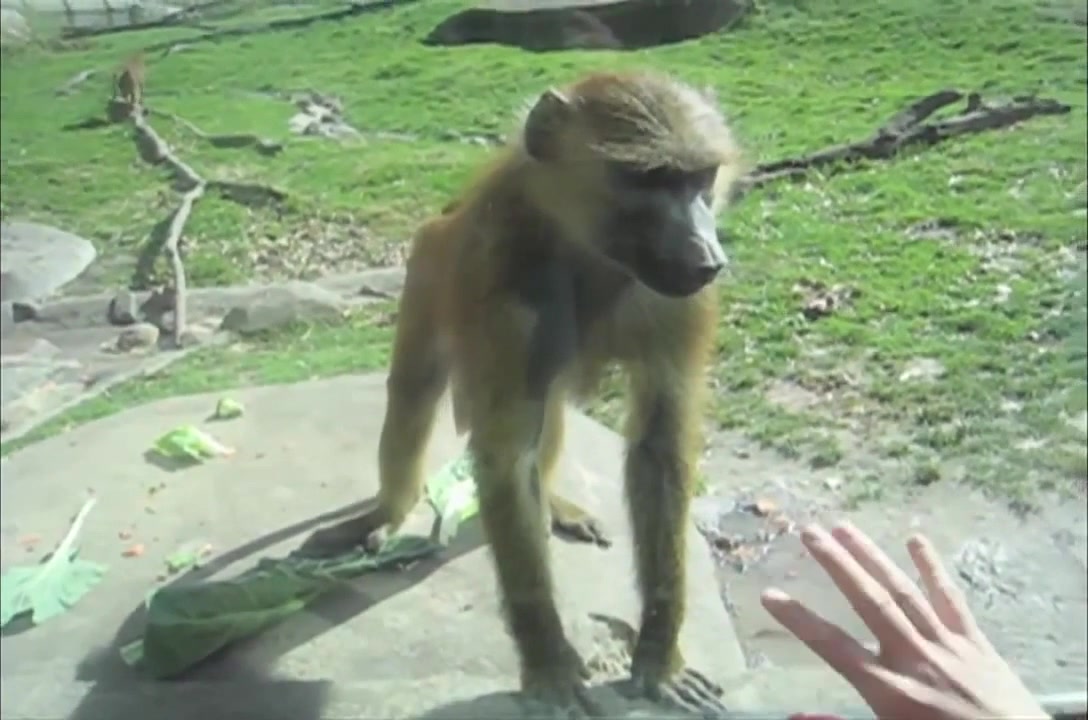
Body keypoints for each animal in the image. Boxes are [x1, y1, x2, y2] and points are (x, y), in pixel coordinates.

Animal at [309, 70, 744, 717]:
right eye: (649, 179)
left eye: (700, 179)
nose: (706, 256)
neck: (588, 255)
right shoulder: (506, 286)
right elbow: (507, 460)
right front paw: (550, 663)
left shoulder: (680, 302)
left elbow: (659, 447)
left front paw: (659, 656)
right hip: (428, 268)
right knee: (414, 391)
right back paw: (390, 510)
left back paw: (556, 503)